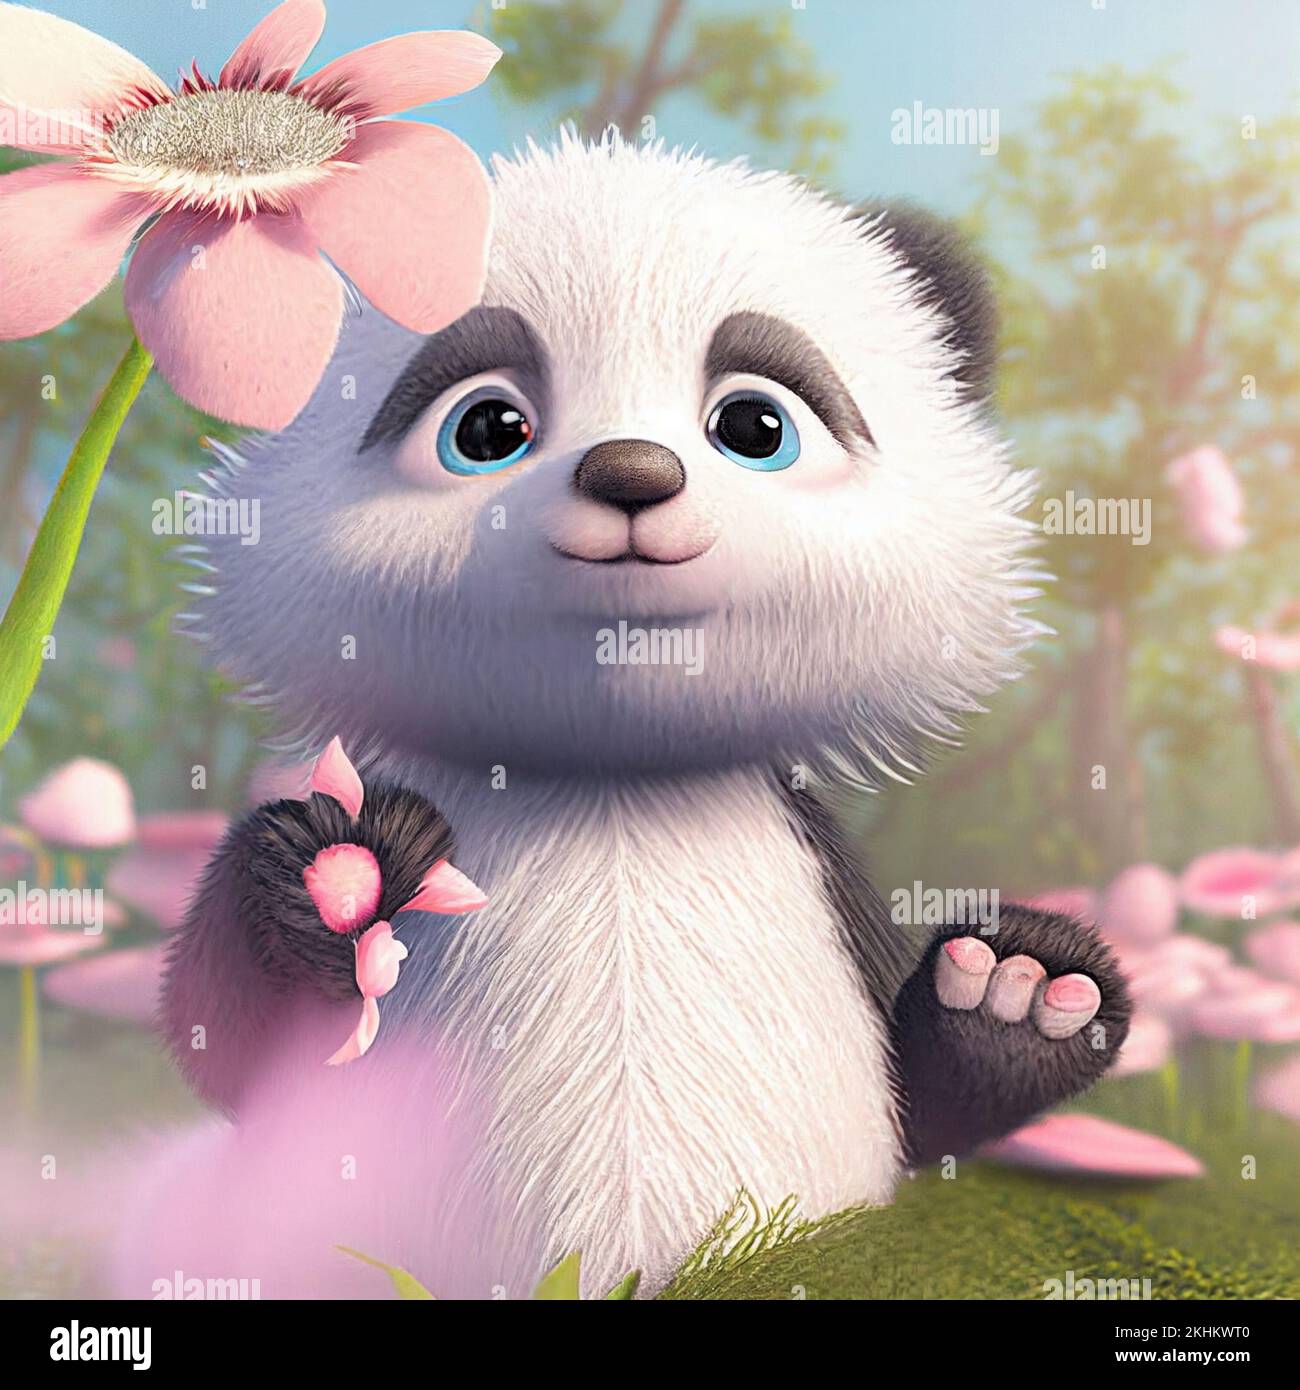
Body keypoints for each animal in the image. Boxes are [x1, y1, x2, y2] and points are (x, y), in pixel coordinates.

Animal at [154, 132, 1131, 1299]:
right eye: (487, 428)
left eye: (755, 425)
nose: (630, 472)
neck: (612, 776)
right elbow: (222, 1047)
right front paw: (332, 868)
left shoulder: (817, 865)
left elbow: (927, 1112)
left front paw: (1017, 991)